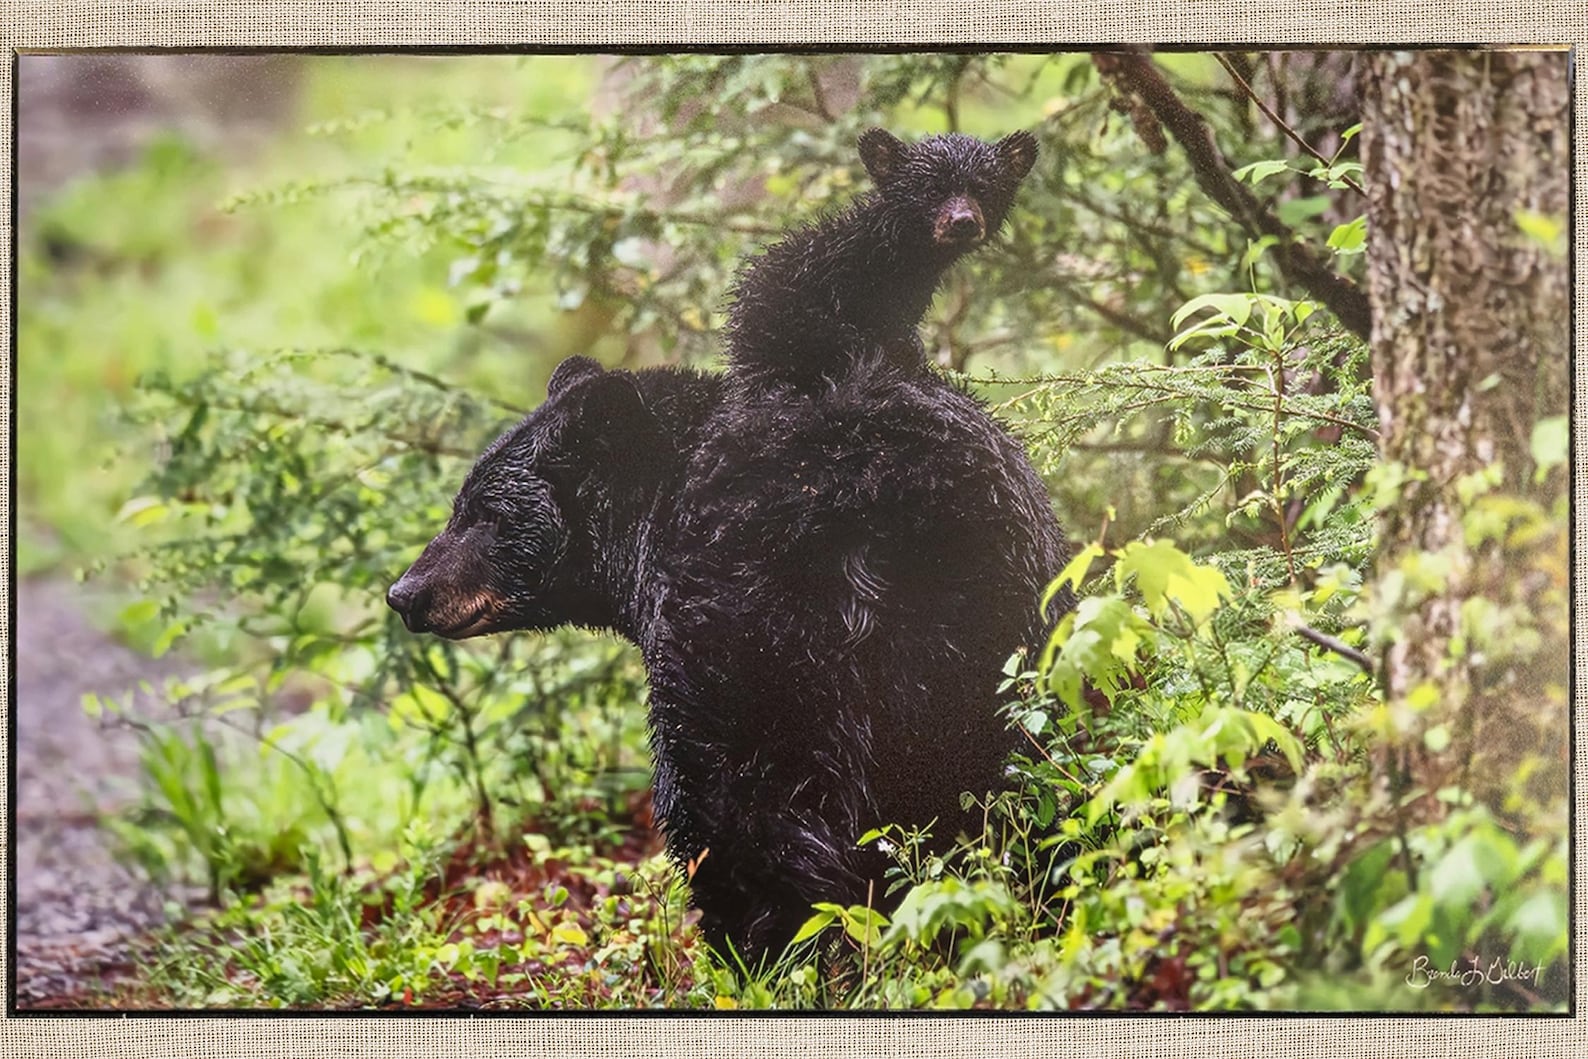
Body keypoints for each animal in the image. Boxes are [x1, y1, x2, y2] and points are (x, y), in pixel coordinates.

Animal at [388, 128, 1069, 968]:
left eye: (485, 513)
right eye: (461, 503)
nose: (405, 592)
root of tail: (887, 507)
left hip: (759, 645)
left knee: (744, 805)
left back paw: (770, 947)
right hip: (995, 625)